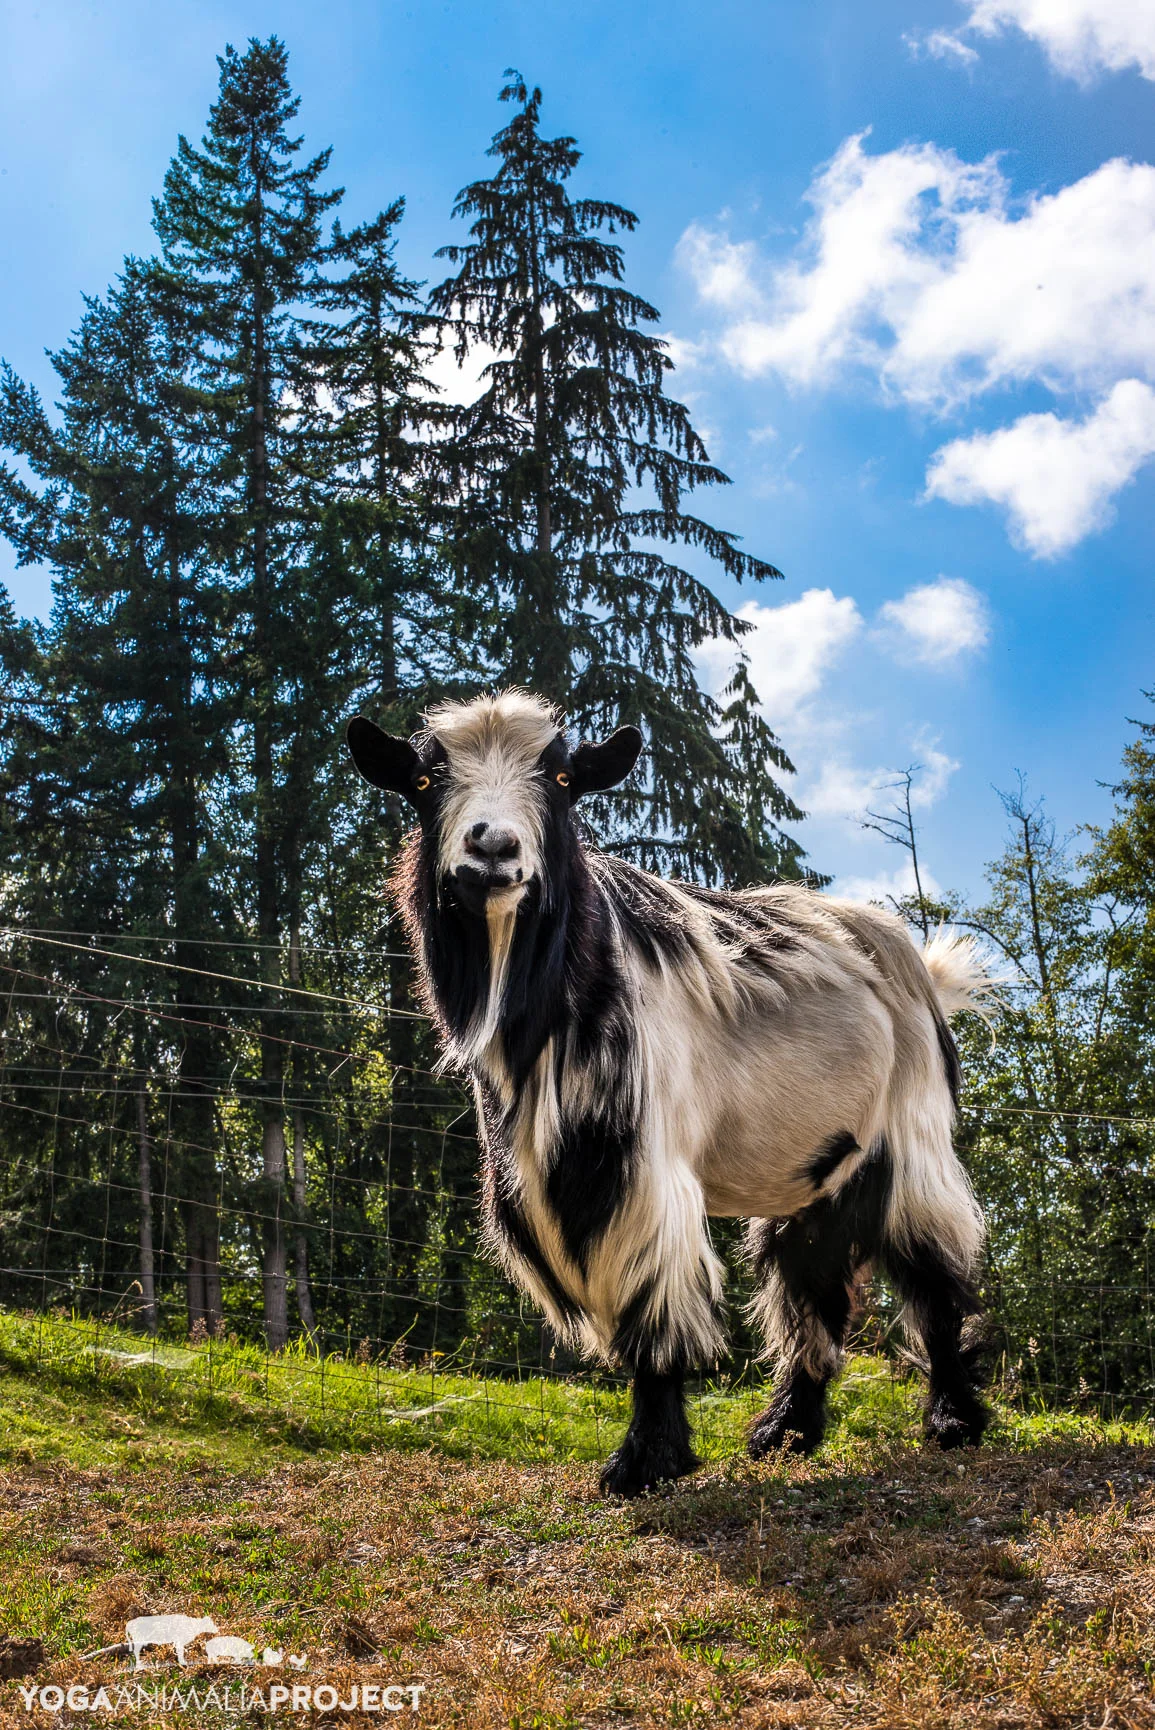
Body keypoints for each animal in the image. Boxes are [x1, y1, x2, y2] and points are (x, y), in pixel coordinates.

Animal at [347, 691, 996, 1498]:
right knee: (811, 1283)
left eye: (561, 779)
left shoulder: (640, 1174)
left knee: (933, 1273)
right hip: (814, 1174)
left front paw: (643, 1462)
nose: (492, 848)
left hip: (910, 1139)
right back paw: (785, 1432)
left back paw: (952, 1420)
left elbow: (651, 1306)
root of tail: (916, 967)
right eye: (426, 781)